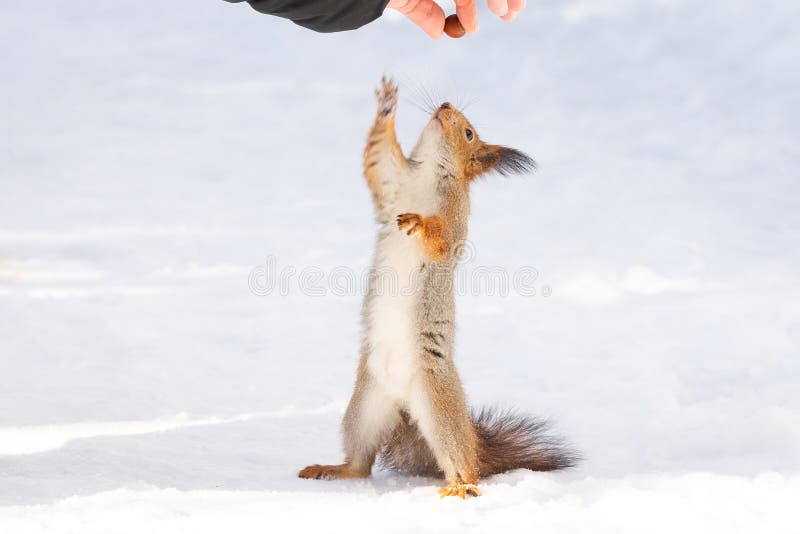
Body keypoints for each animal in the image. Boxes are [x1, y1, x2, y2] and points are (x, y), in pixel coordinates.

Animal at [299, 77, 576, 498]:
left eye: (469, 132)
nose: (445, 105)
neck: (429, 172)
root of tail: (404, 405)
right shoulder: (390, 181)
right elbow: (376, 156)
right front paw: (386, 105)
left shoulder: (455, 218)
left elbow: (441, 241)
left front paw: (418, 222)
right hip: (364, 407)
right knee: (361, 464)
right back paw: (332, 469)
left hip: (438, 405)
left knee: (464, 461)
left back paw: (461, 487)